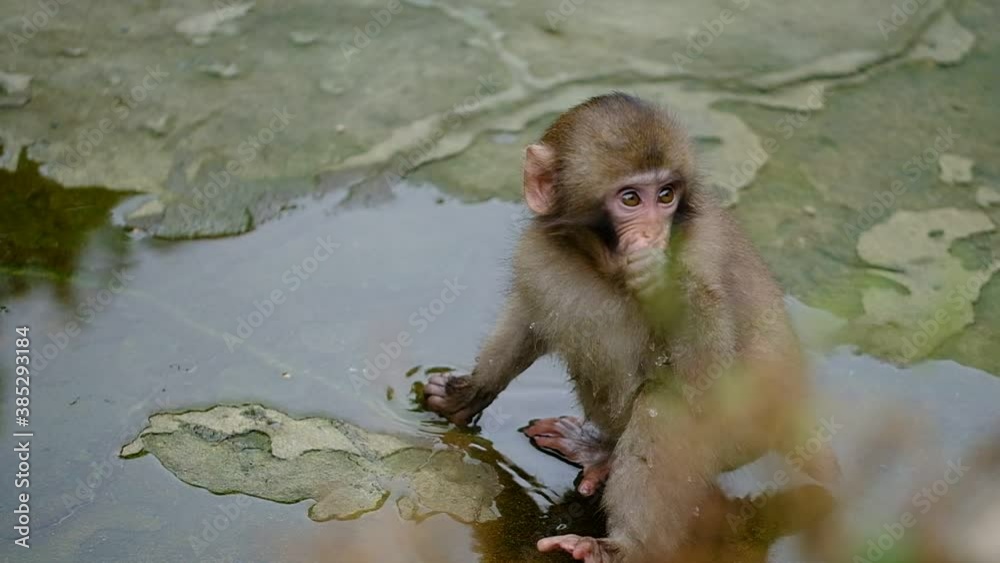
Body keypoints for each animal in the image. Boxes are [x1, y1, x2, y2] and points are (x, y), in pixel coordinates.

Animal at [424, 93, 839, 562]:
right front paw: (470, 392)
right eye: (630, 199)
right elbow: (527, 319)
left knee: (666, 402)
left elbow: (709, 385)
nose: (654, 234)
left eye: (666, 195)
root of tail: (790, 415)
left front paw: (665, 281)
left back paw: (622, 546)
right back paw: (600, 453)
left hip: (743, 435)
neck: (600, 269)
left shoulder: (701, 253)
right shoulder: (537, 253)